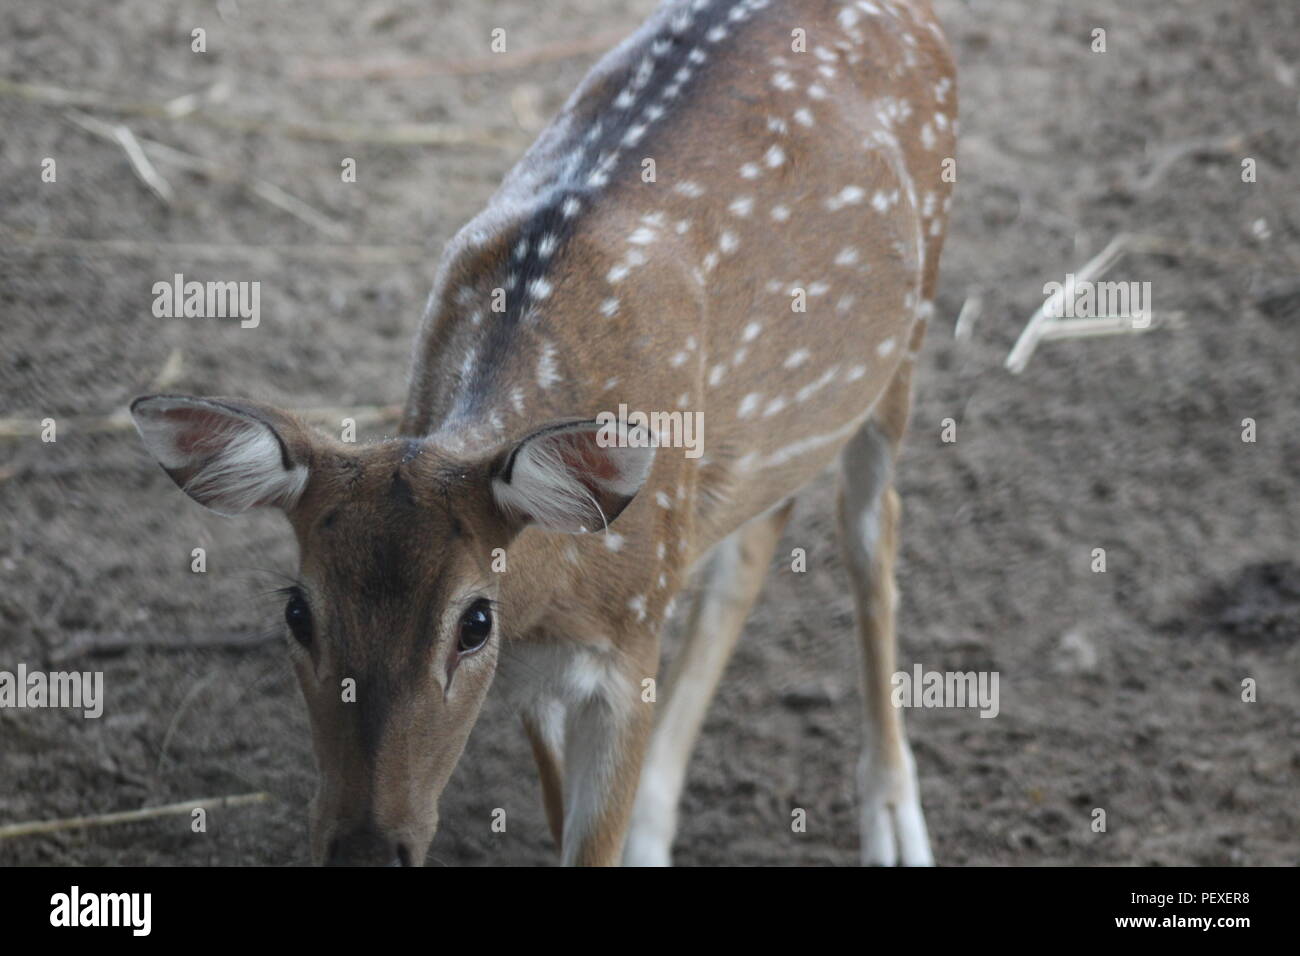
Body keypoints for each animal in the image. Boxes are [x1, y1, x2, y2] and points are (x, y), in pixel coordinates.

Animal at [130, 0, 956, 866]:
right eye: (297, 612)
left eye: (473, 621)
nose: (364, 848)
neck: (558, 587)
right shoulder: (535, 667)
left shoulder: (628, 639)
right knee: (757, 538)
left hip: (911, 330)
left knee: (872, 528)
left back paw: (894, 822)